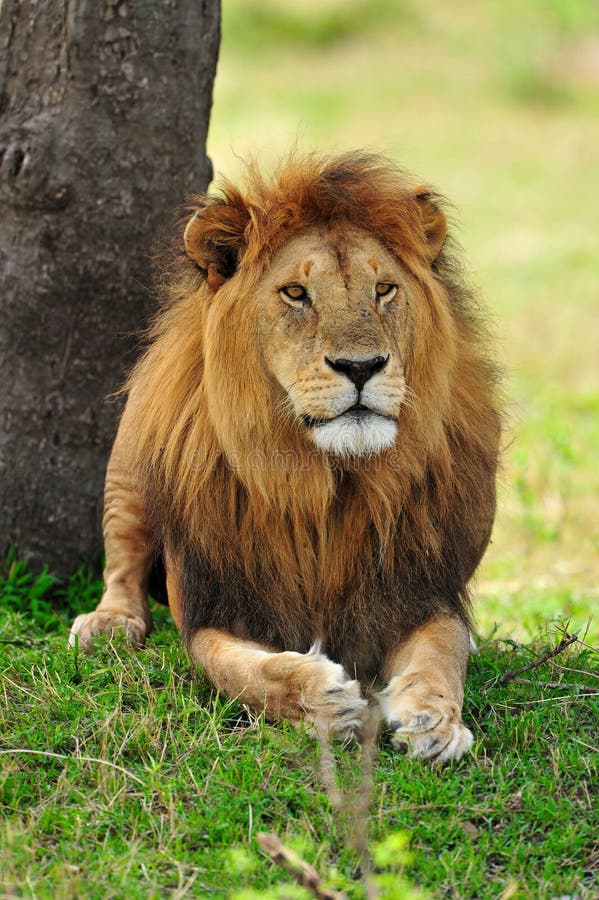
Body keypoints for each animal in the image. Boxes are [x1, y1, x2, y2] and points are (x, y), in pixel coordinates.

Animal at [70, 152, 501, 764]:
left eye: (384, 289)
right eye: (296, 293)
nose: (361, 366)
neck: (326, 480)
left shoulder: (422, 594)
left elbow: (441, 656)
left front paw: (434, 720)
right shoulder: (214, 608)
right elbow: (245, 672)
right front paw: (322, 698)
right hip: (127, 471)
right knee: (122, 561)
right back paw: (108, 625)